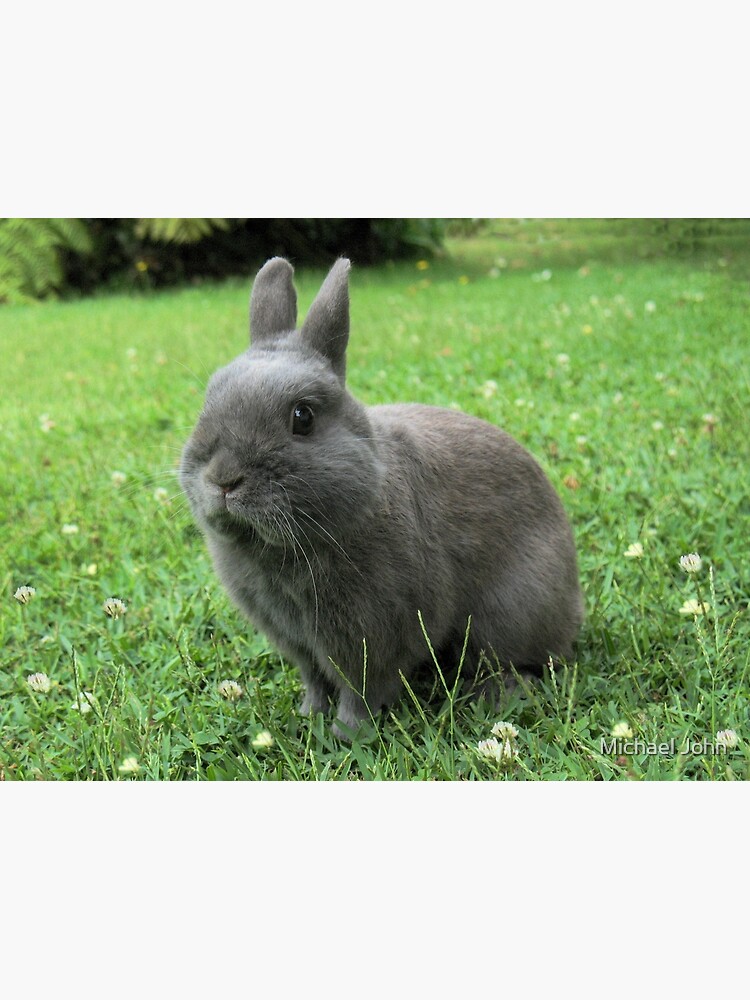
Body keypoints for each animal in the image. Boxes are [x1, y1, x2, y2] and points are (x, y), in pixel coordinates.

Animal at [179, 256, 584, 735]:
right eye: (209, 400)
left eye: (303, 417)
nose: (223, 480)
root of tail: (574, 604)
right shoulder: (300, 644)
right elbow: (315, 680)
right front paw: (310, 716)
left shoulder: (374, 639)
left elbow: (363, 691)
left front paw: (346, 734)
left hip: (506, 616)